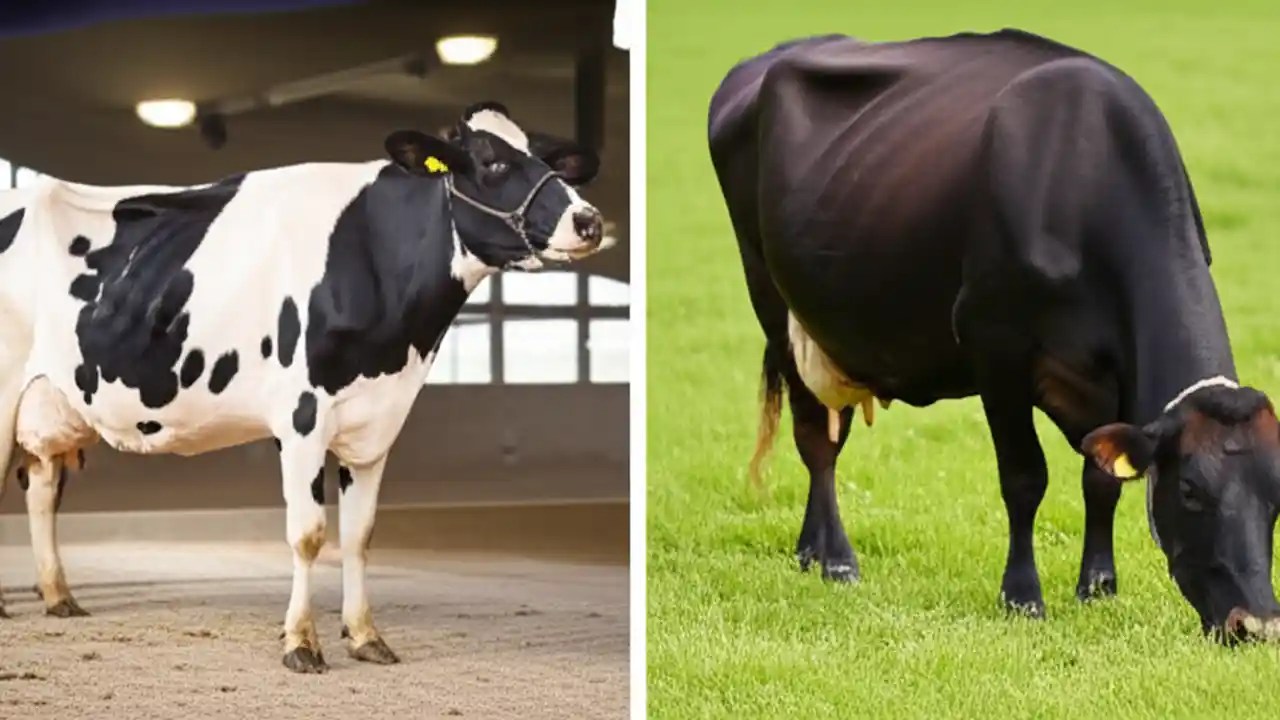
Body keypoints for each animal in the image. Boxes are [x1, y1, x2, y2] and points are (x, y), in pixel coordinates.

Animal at [0, 101, 613, 672]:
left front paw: (365, 636)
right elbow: (310, 533)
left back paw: (59, 597)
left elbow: (359, 535)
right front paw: (301, 642)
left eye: (547, 158)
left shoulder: (377, 422)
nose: (589, 221)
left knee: (40, 491)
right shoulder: (301, 417)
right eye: (492, 163)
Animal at [708, 29, 1280, 641]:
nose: (1257, 625)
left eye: (1278, 492)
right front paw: (1023, 596)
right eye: (1191, 490)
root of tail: (772, 55)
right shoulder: (995, 348)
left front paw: (1098, 586)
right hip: (773, 301)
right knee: (817, 441)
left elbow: (1100, 479)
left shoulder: (1106, 378)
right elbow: (1026, 476)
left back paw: (810, 550)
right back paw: (837, 559)